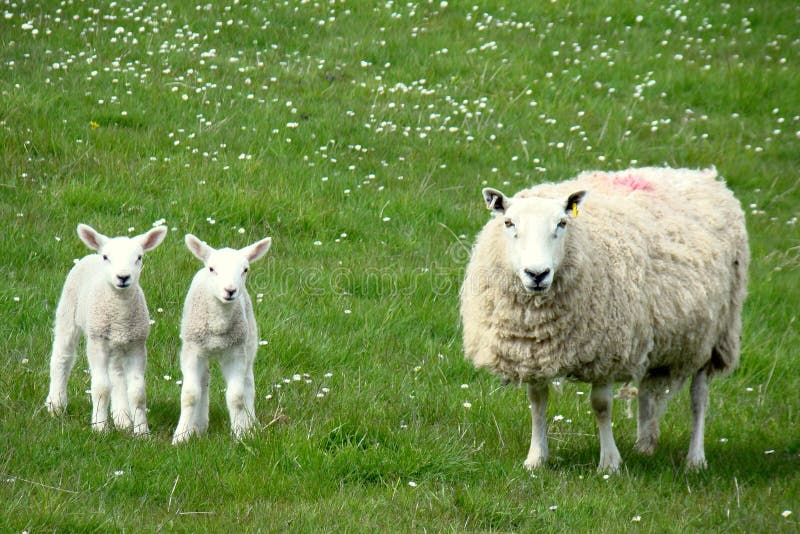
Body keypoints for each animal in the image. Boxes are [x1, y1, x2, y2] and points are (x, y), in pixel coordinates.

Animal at [45, 223, 168, 434]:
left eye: (139, 257)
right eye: (107, 257)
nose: (123, 277)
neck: (120, 313)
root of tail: (91, 254)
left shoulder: (137, 345)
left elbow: (137, 392)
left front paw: (141, 432)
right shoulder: (97, 343)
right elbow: (101, 388)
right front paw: (100, 427)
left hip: (117, 343)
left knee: (117, 374)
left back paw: (122, 418)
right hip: (68, 312)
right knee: (62, 357)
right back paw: (56, 405)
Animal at [172, 233, 272, 444]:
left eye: (245, 269)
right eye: (212, 268)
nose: (230, 290)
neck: (218, 327)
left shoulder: (236, 352)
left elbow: (236, 396)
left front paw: (240, 434)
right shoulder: (191, 351)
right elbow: (190, 395)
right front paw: (180, 437)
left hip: (249, 342)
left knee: (248, 383)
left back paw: (251, 425)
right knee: (203, 382)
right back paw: (198, 426)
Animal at [460, 167, 749, 472]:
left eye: (562, 223)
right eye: (509, 222)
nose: (537, 274)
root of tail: (701, 175)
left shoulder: (606, 351)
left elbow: (601, 406)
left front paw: (609, 463)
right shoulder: (533, 352)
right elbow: (537, 402)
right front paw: (536, 458)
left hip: (715, 336)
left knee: (699, 397)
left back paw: (695, 458)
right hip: (662, 335)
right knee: (647, 391)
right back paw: (645, 445)